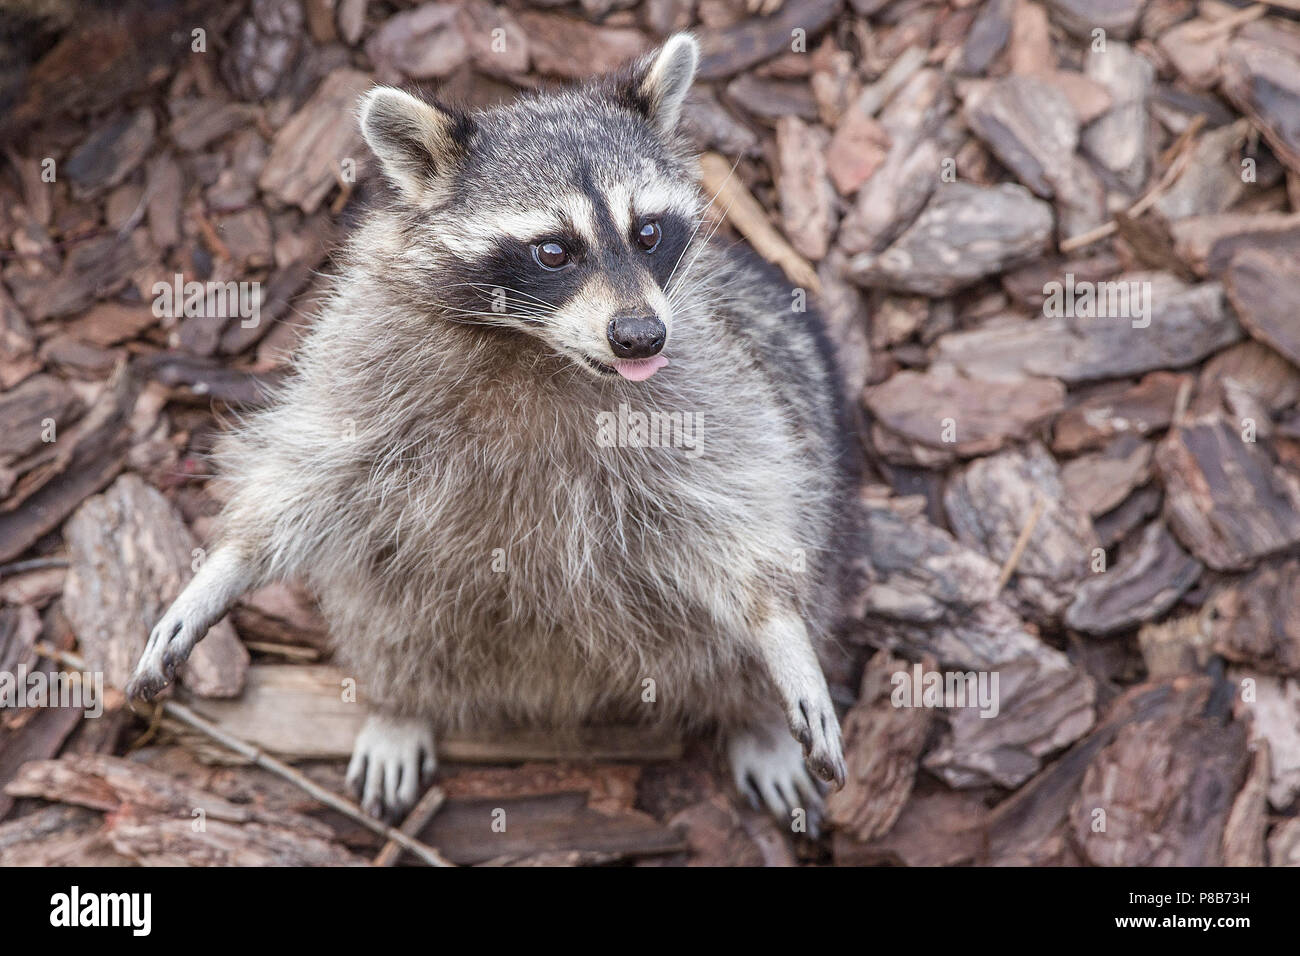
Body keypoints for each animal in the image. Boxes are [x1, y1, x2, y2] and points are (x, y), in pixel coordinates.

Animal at [129, 34, 860, 828]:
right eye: (554, 250)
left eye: (647, 232)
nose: (639, 336)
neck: (537, 346)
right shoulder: (368, 351)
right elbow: (311, 467)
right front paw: (224, 566)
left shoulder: (703, 385)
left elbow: (733, 506)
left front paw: (777, 627)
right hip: (392, 589)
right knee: (386, 619)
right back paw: (398, 705)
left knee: (740, 635)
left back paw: (754, 718)